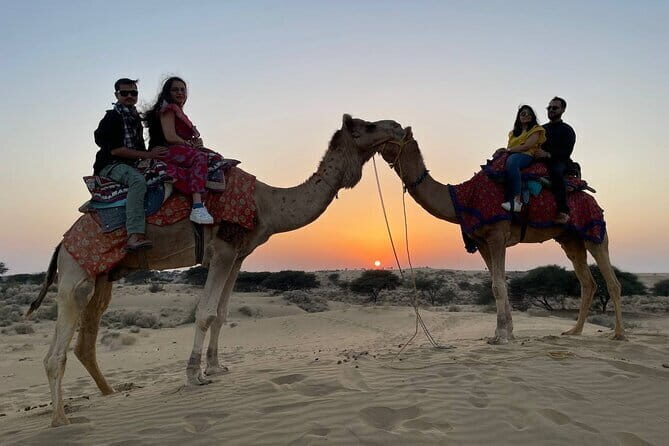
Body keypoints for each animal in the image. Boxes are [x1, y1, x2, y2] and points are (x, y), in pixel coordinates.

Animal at [28, 114, 405, 427]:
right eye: (369, 126)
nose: (399, 127)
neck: (266, 203)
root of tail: (61, 244)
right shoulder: (222, 250)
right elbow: (206, 312)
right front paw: (195, 374)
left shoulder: (238, 255)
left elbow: (222, 314)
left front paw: (216, 366)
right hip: (76, 272)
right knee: (56, 351)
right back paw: (60, 419)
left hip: (103, 277)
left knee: (85, 341)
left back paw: (108, 395)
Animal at [377, 128, 624, 344]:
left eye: (394, 133)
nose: (376, 141)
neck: (461, 198)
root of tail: (591, 197)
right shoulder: (482, 241)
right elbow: (499, 282)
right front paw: (506, 332)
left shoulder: (497, 235)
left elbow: (497, 286)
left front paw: (502, 336)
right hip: (570, 239)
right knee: (588, 282)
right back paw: (574, 331)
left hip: (594, 229)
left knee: (611, 281)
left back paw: (619, 334)